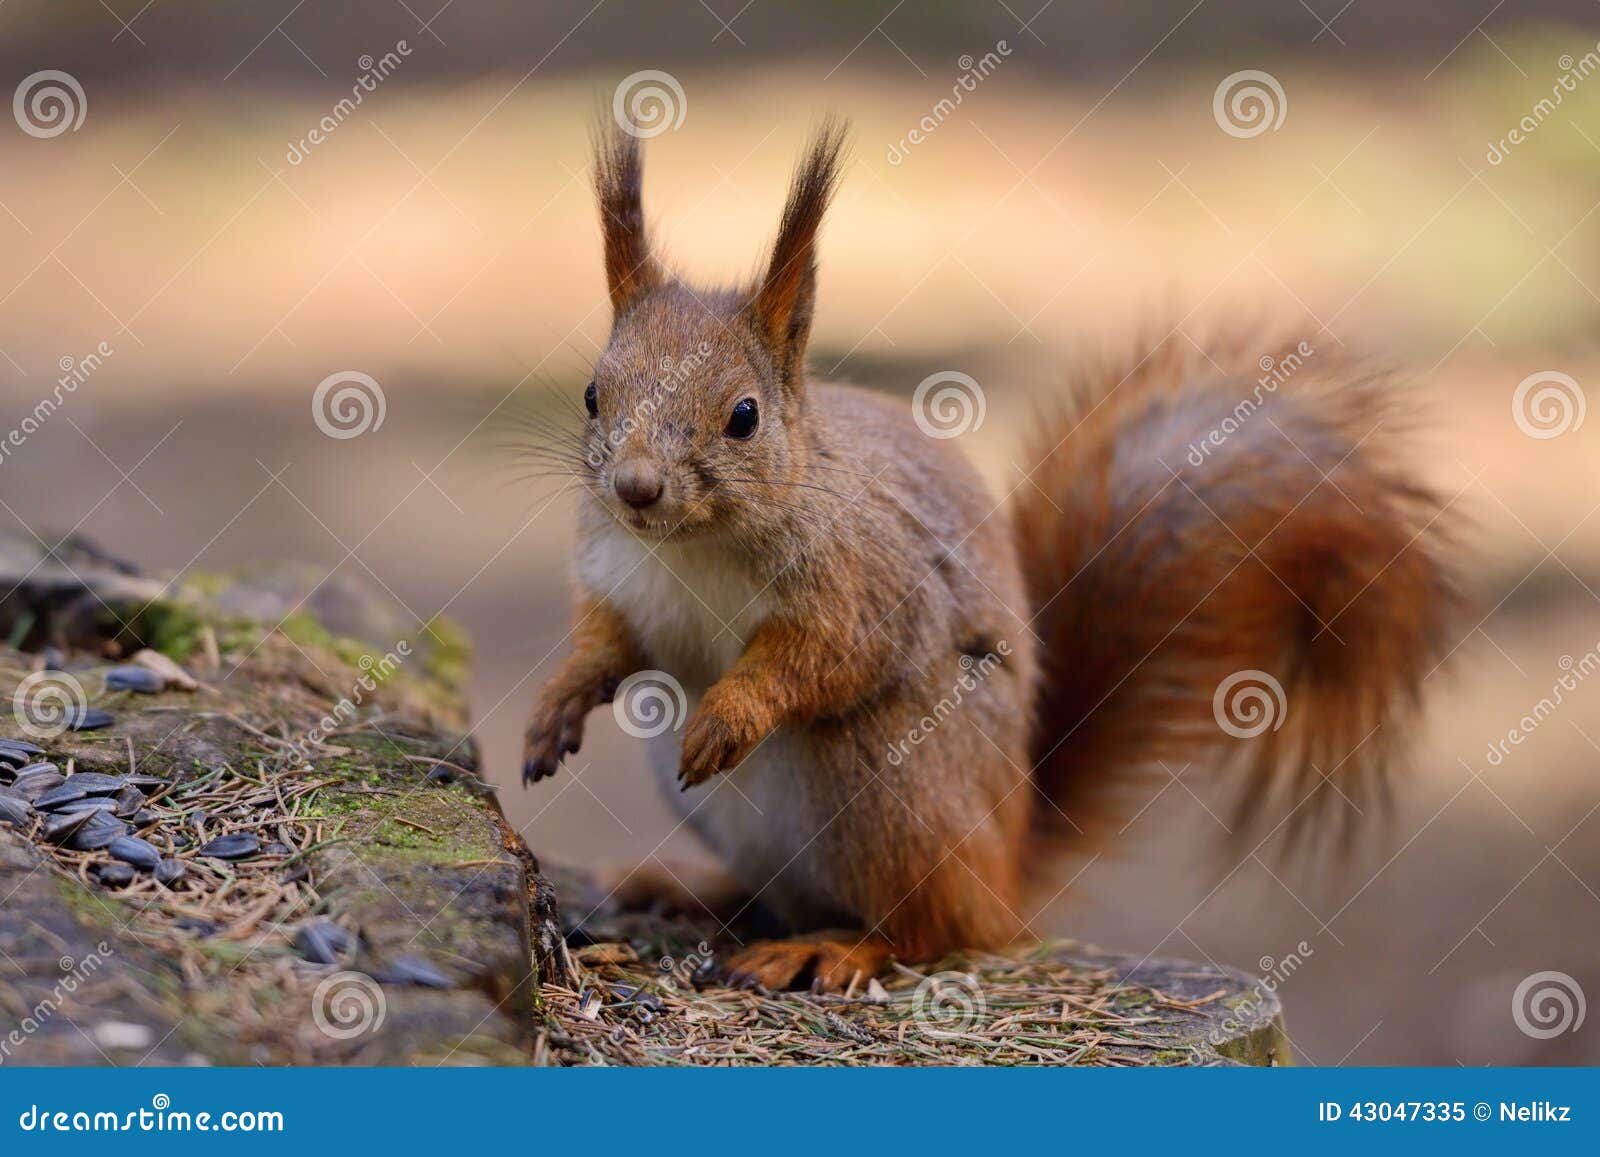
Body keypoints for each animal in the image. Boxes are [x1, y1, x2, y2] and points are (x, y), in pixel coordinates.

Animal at [521, 117, 1458, 993]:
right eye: (593, 394)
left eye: (743, 415)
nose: (636, 488)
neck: (694, 545)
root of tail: (1006, 872)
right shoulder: (620, 576)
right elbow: (606, 641)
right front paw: (556, 704)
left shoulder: (868, 577)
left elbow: (827, 655)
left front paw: (731, 711)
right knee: (778, 892)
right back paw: (686, 886)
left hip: (890, 782)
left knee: (932, 928)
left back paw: (830, 946)